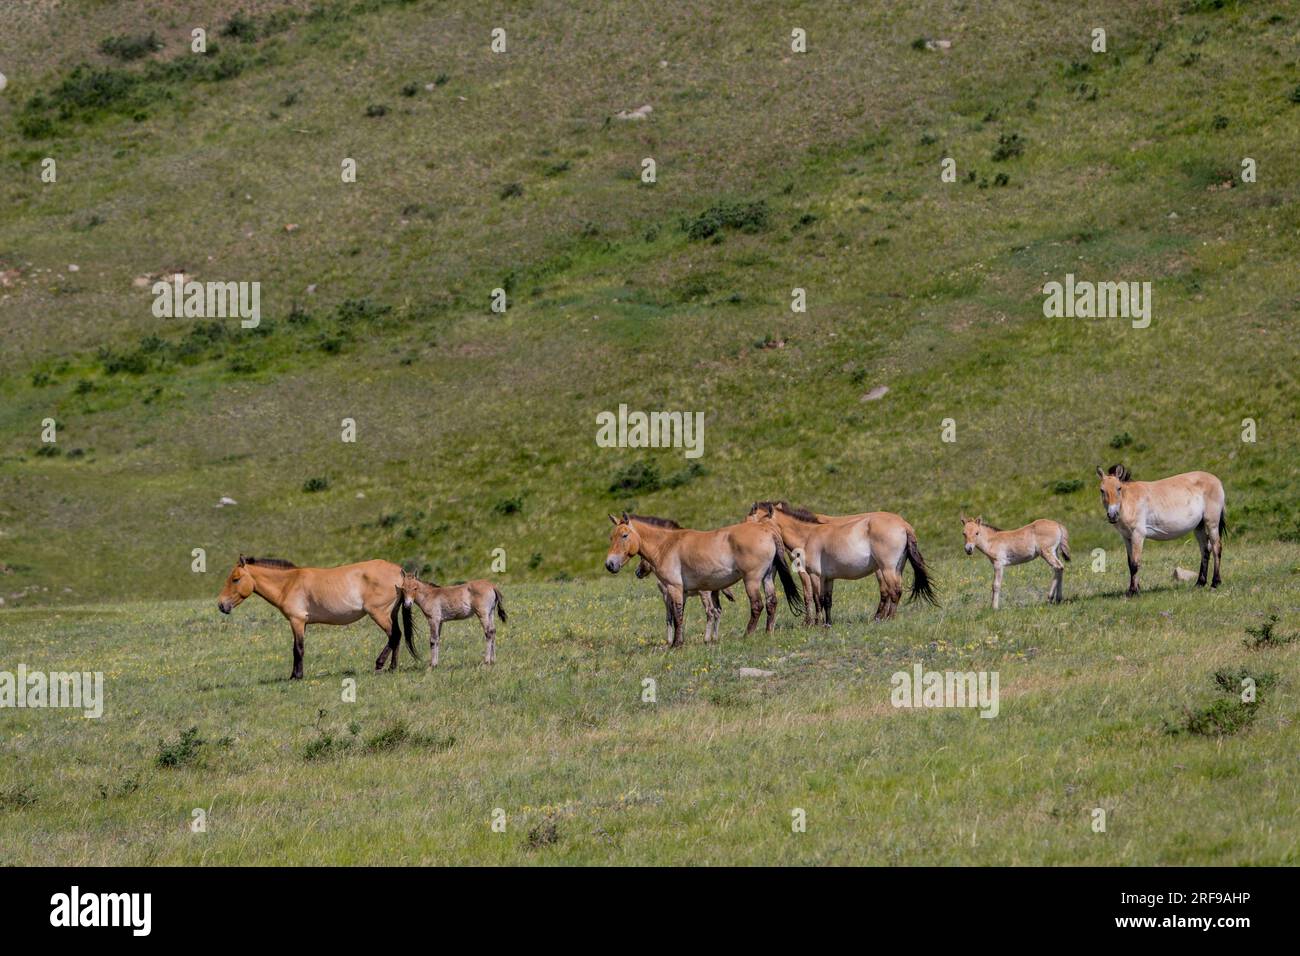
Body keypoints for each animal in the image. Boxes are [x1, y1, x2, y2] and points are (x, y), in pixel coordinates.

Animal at [217, 555, 416, 679]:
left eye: (235, 579)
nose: (221, 605)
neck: (289, 584)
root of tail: (398, 570)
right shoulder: (301, 623)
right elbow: (295, 649)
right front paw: (294, 674)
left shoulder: (297, 620)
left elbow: (298, 649)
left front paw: (297, 677)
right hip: (390, 614)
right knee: (397, 636)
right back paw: (392, 668)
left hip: (379, 614)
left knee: (394, 636)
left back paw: (380, 665)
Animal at [604, 512, 803, 646]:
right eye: (611, 537)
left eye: (624, 535)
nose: (610, 564)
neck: (666, 545)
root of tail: (767, 530)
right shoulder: (681, 591)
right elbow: (678, 616)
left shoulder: (673, 588)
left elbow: (676, 615)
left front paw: (676, 644)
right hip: (768, 577)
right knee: (771, 603)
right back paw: (768, 633)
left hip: (752, 580)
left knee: (757, 605)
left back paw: (747, 635)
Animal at [746, 501, 936, 624]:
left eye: (758, 520)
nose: (750, 537)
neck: (808, 535)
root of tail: (904, 525)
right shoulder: (828, 578)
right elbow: (827, 600)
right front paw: (827, 623)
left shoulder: (813, 575)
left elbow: (815, 598)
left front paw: (814, 623)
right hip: (896, 568)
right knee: (892, 591)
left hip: (886, 569)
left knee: (894, 591)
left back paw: (888, 619)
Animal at [1096, 465, 1226, 595]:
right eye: (1102, 490)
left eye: (1119, 488)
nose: (1112, 515)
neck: (1130, 502)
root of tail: (1217, 480)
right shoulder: (1126, 537)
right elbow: (1130, 563)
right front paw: (1135, 588)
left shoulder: (1138, 535)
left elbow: (1135, 563)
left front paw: (1133, 591)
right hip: (1199, 526)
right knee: (1205, 550)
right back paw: (1200, 583)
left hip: (1212, 523)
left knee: (1216, 548)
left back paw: (1215, 583)